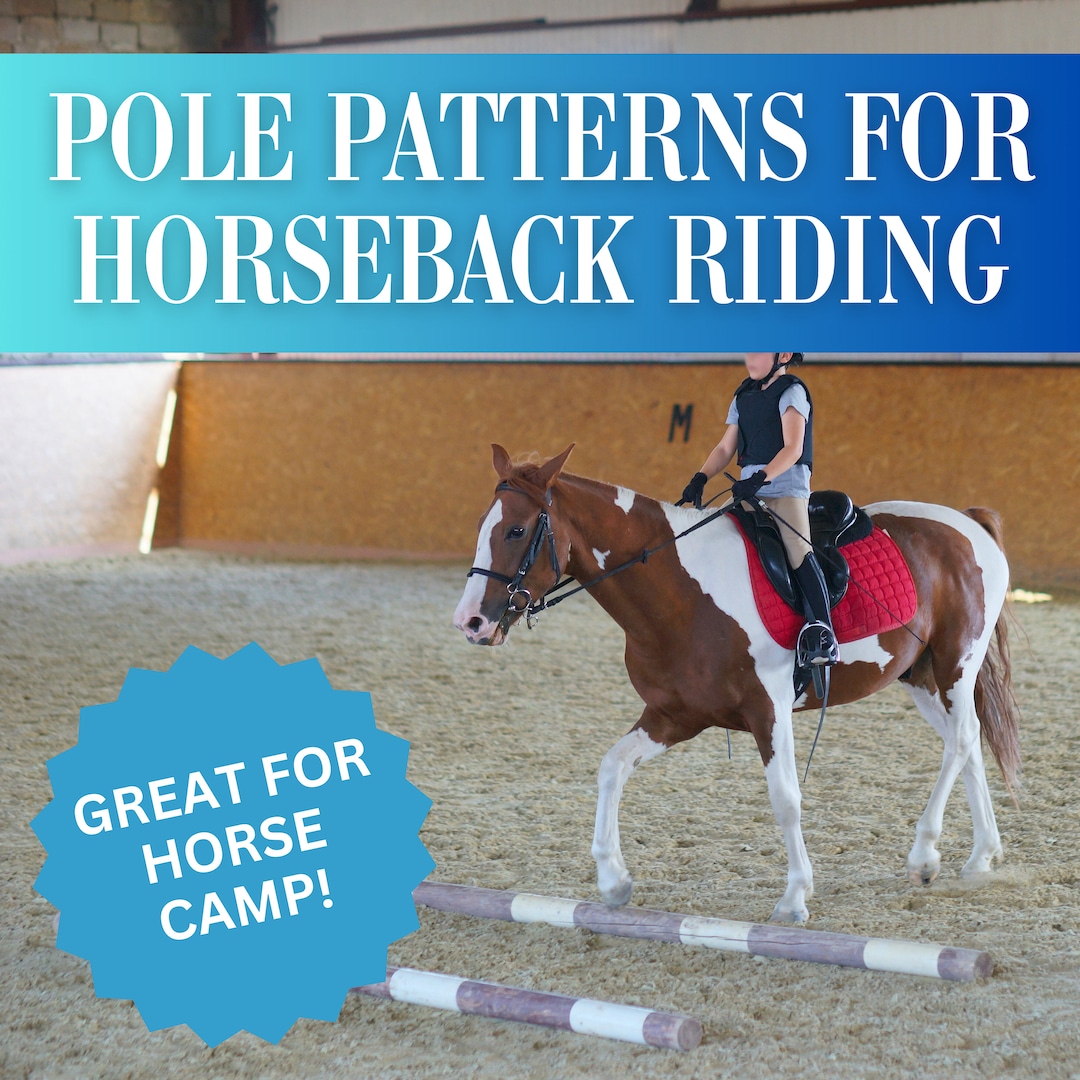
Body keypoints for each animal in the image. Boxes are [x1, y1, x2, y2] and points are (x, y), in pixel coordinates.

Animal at [453, 444, 1020, 925]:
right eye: (482, 526)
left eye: (517, 531)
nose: (470, 622)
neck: (680, 591)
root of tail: (969, 521)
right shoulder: (673, 717)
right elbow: (611, 768)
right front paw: (614, 882)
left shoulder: (768, 710)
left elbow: (786, 797)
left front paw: (794, 898)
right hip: (918, 676)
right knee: (965, 742)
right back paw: (981, 856)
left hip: (955, 662)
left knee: (961, 741)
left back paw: (925, 855)